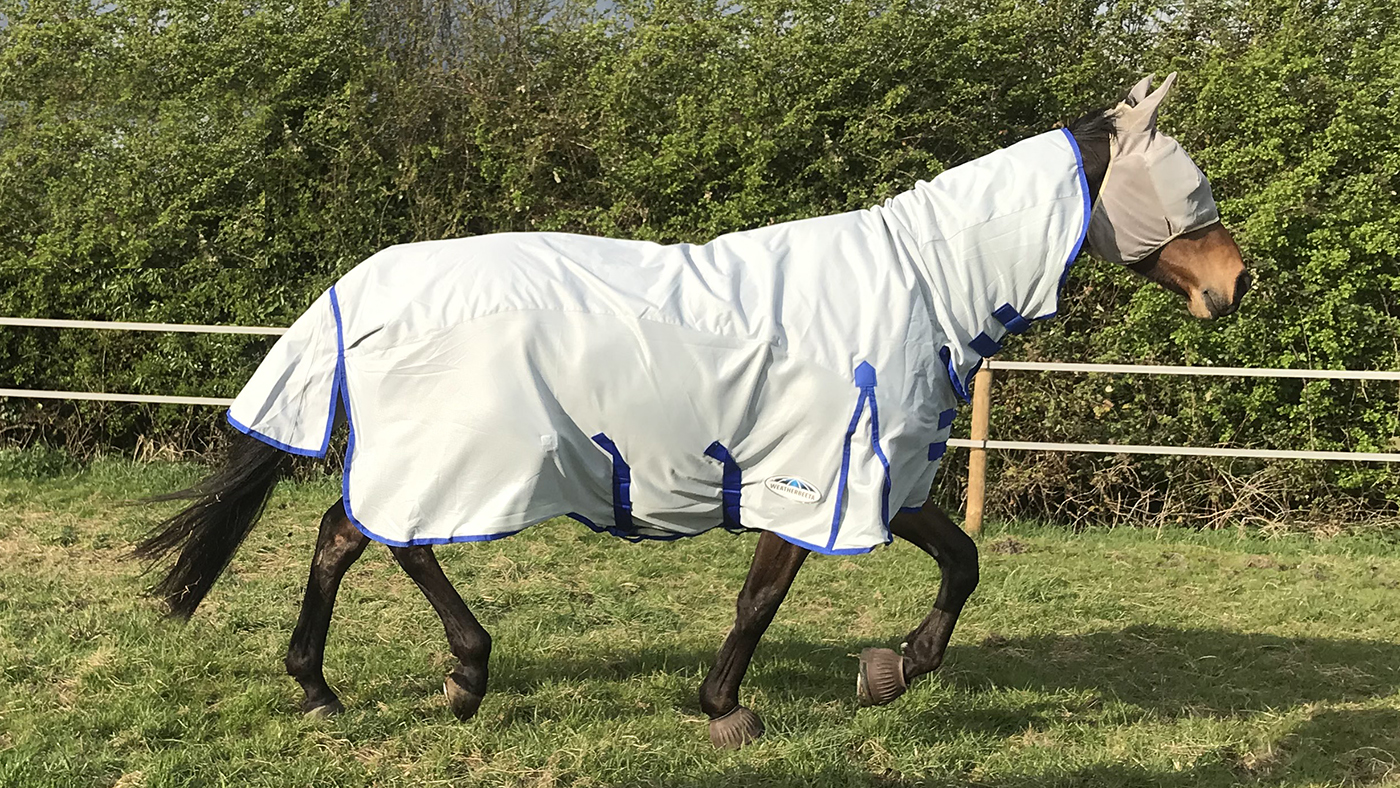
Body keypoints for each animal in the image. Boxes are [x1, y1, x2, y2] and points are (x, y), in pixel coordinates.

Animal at [136, 74, 1249, 749]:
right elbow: (759, 600)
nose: (1234, 283)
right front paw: (726, 710)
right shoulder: (810, 483)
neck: (918, 284)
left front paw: (892, 669)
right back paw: (460, 673)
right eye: (1184, 184)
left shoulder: (885, 481)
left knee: (339, 537)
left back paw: (321, 686)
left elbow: (963, 562)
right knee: (384, 539)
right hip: (458, 458)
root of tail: (361, 286)